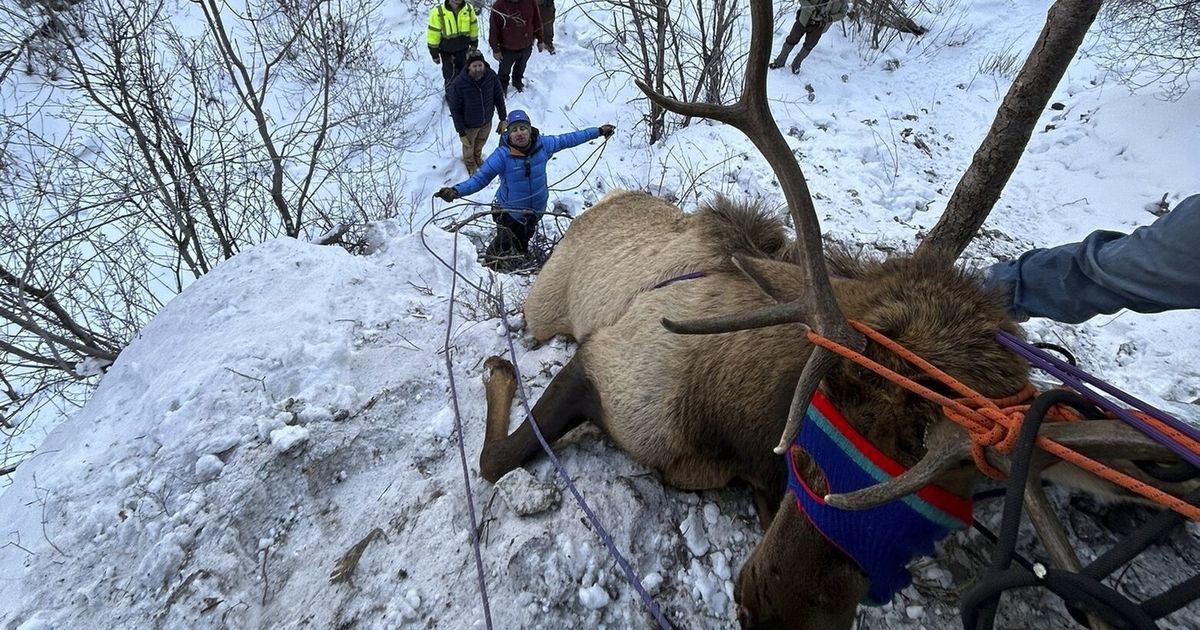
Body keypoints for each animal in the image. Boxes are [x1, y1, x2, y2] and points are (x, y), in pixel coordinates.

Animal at [477, 2, 1193, 628]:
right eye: (812, 435)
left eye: (958, 490)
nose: (775, 613)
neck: (729, 419)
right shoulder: (606, 367)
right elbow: (495, 459)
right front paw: (499, 374)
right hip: (544, 307)